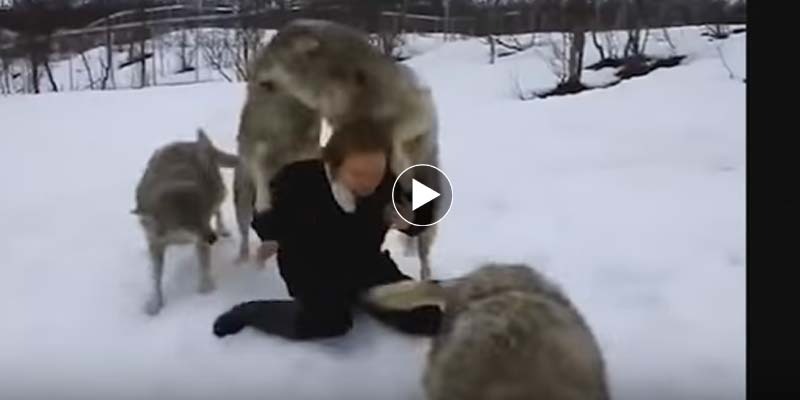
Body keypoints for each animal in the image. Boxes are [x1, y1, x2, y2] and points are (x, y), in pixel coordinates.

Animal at [132, 129, 238, 315]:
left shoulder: (202, 236)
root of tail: (195, 143)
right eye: (187, 225)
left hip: (219, 193)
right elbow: (155, 278)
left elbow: (203, 266)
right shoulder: (156, 244)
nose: (213, 238)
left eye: (202, 217)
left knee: (218, 210)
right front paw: (155, 303)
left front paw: (205, 289)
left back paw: (223, 229)